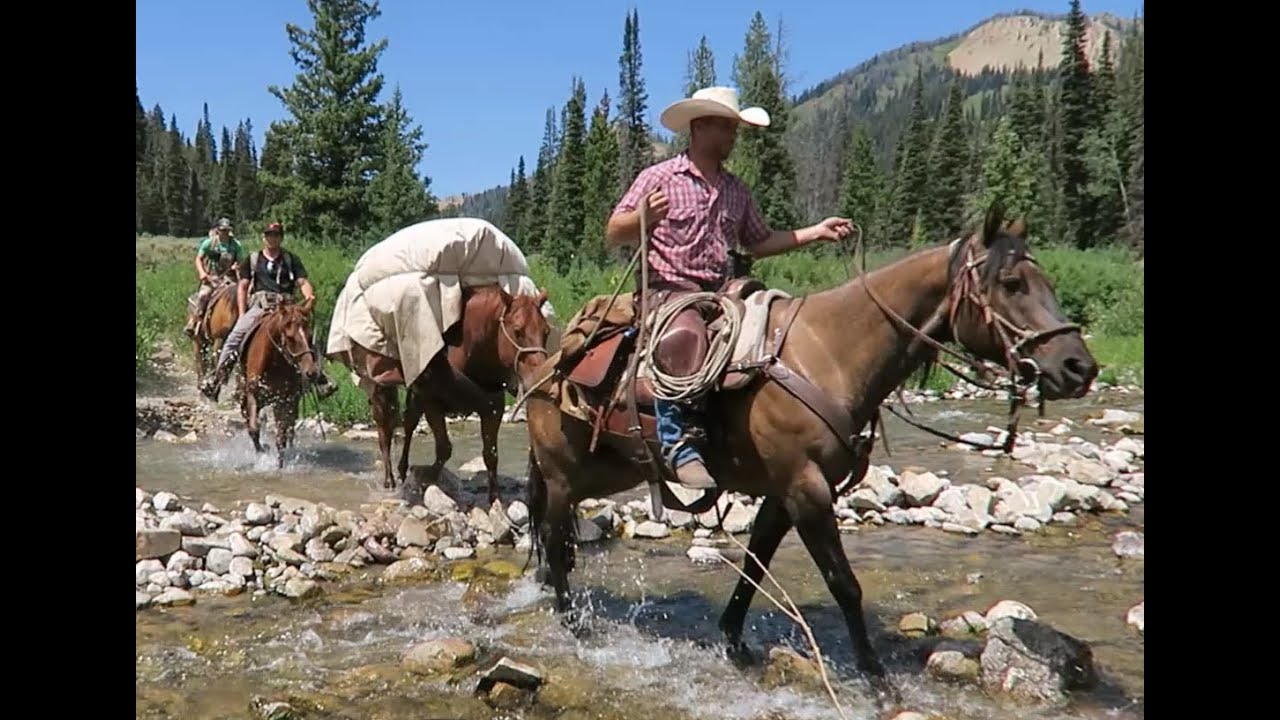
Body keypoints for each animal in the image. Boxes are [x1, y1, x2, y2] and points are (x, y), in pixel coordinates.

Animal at [238, 300, 325, 468]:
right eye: (290, 337)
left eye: (310, 336)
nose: (311, 372)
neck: (274, 363)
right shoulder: (253, 395)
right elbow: (254, 429)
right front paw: (263, 451)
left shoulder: (283, 400)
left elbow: (281, 438)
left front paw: (280, 465)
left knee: (290, 430)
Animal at [359, 285, 553, 504]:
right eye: (518, 331)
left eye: (546, 331)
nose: (542, 375)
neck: (468, 352)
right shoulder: (432, 404)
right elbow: (444, 448)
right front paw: (425, 479)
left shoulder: (493, 409)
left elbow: (491, 454)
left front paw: (495, 498)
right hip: (383, 387)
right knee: (387, 429)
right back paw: (391, 478)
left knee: (408, 423)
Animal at [520, 202, 1099, 699]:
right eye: (1011, 283)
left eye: (1046, 281)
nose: (1080, 368)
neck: (829, 354)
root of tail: (547, 362)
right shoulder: (808, 491)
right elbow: (845, 584)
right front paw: (876, 678)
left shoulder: (784, 494)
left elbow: (755, 566)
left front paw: (734, 639)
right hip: (564, 474)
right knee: (552, 535)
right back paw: (572, 621)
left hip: (607, 471)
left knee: (559, 538)